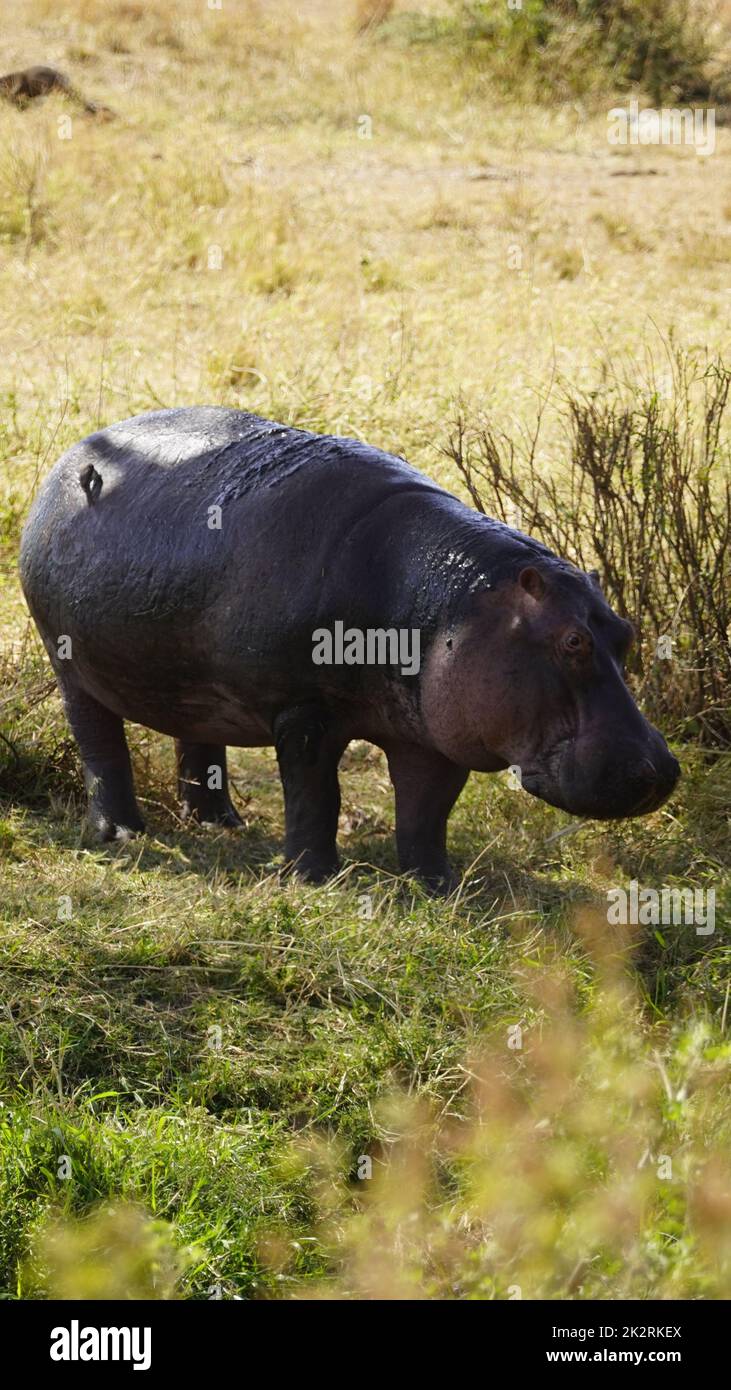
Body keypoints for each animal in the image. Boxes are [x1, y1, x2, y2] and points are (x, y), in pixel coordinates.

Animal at [19, 408, 679, 885]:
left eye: (625, 633)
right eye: (572, 641)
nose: (661, 772)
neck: (453, 599)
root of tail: (74, 453)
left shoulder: (431, 728)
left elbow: (428, 810)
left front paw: (436, 884)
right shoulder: (303, 709)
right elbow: (316, 793)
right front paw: (313, 878)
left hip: (187, 677)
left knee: (197, 737)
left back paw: (223, 826)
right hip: (69, 663)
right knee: (99, 743)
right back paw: (121, 834)